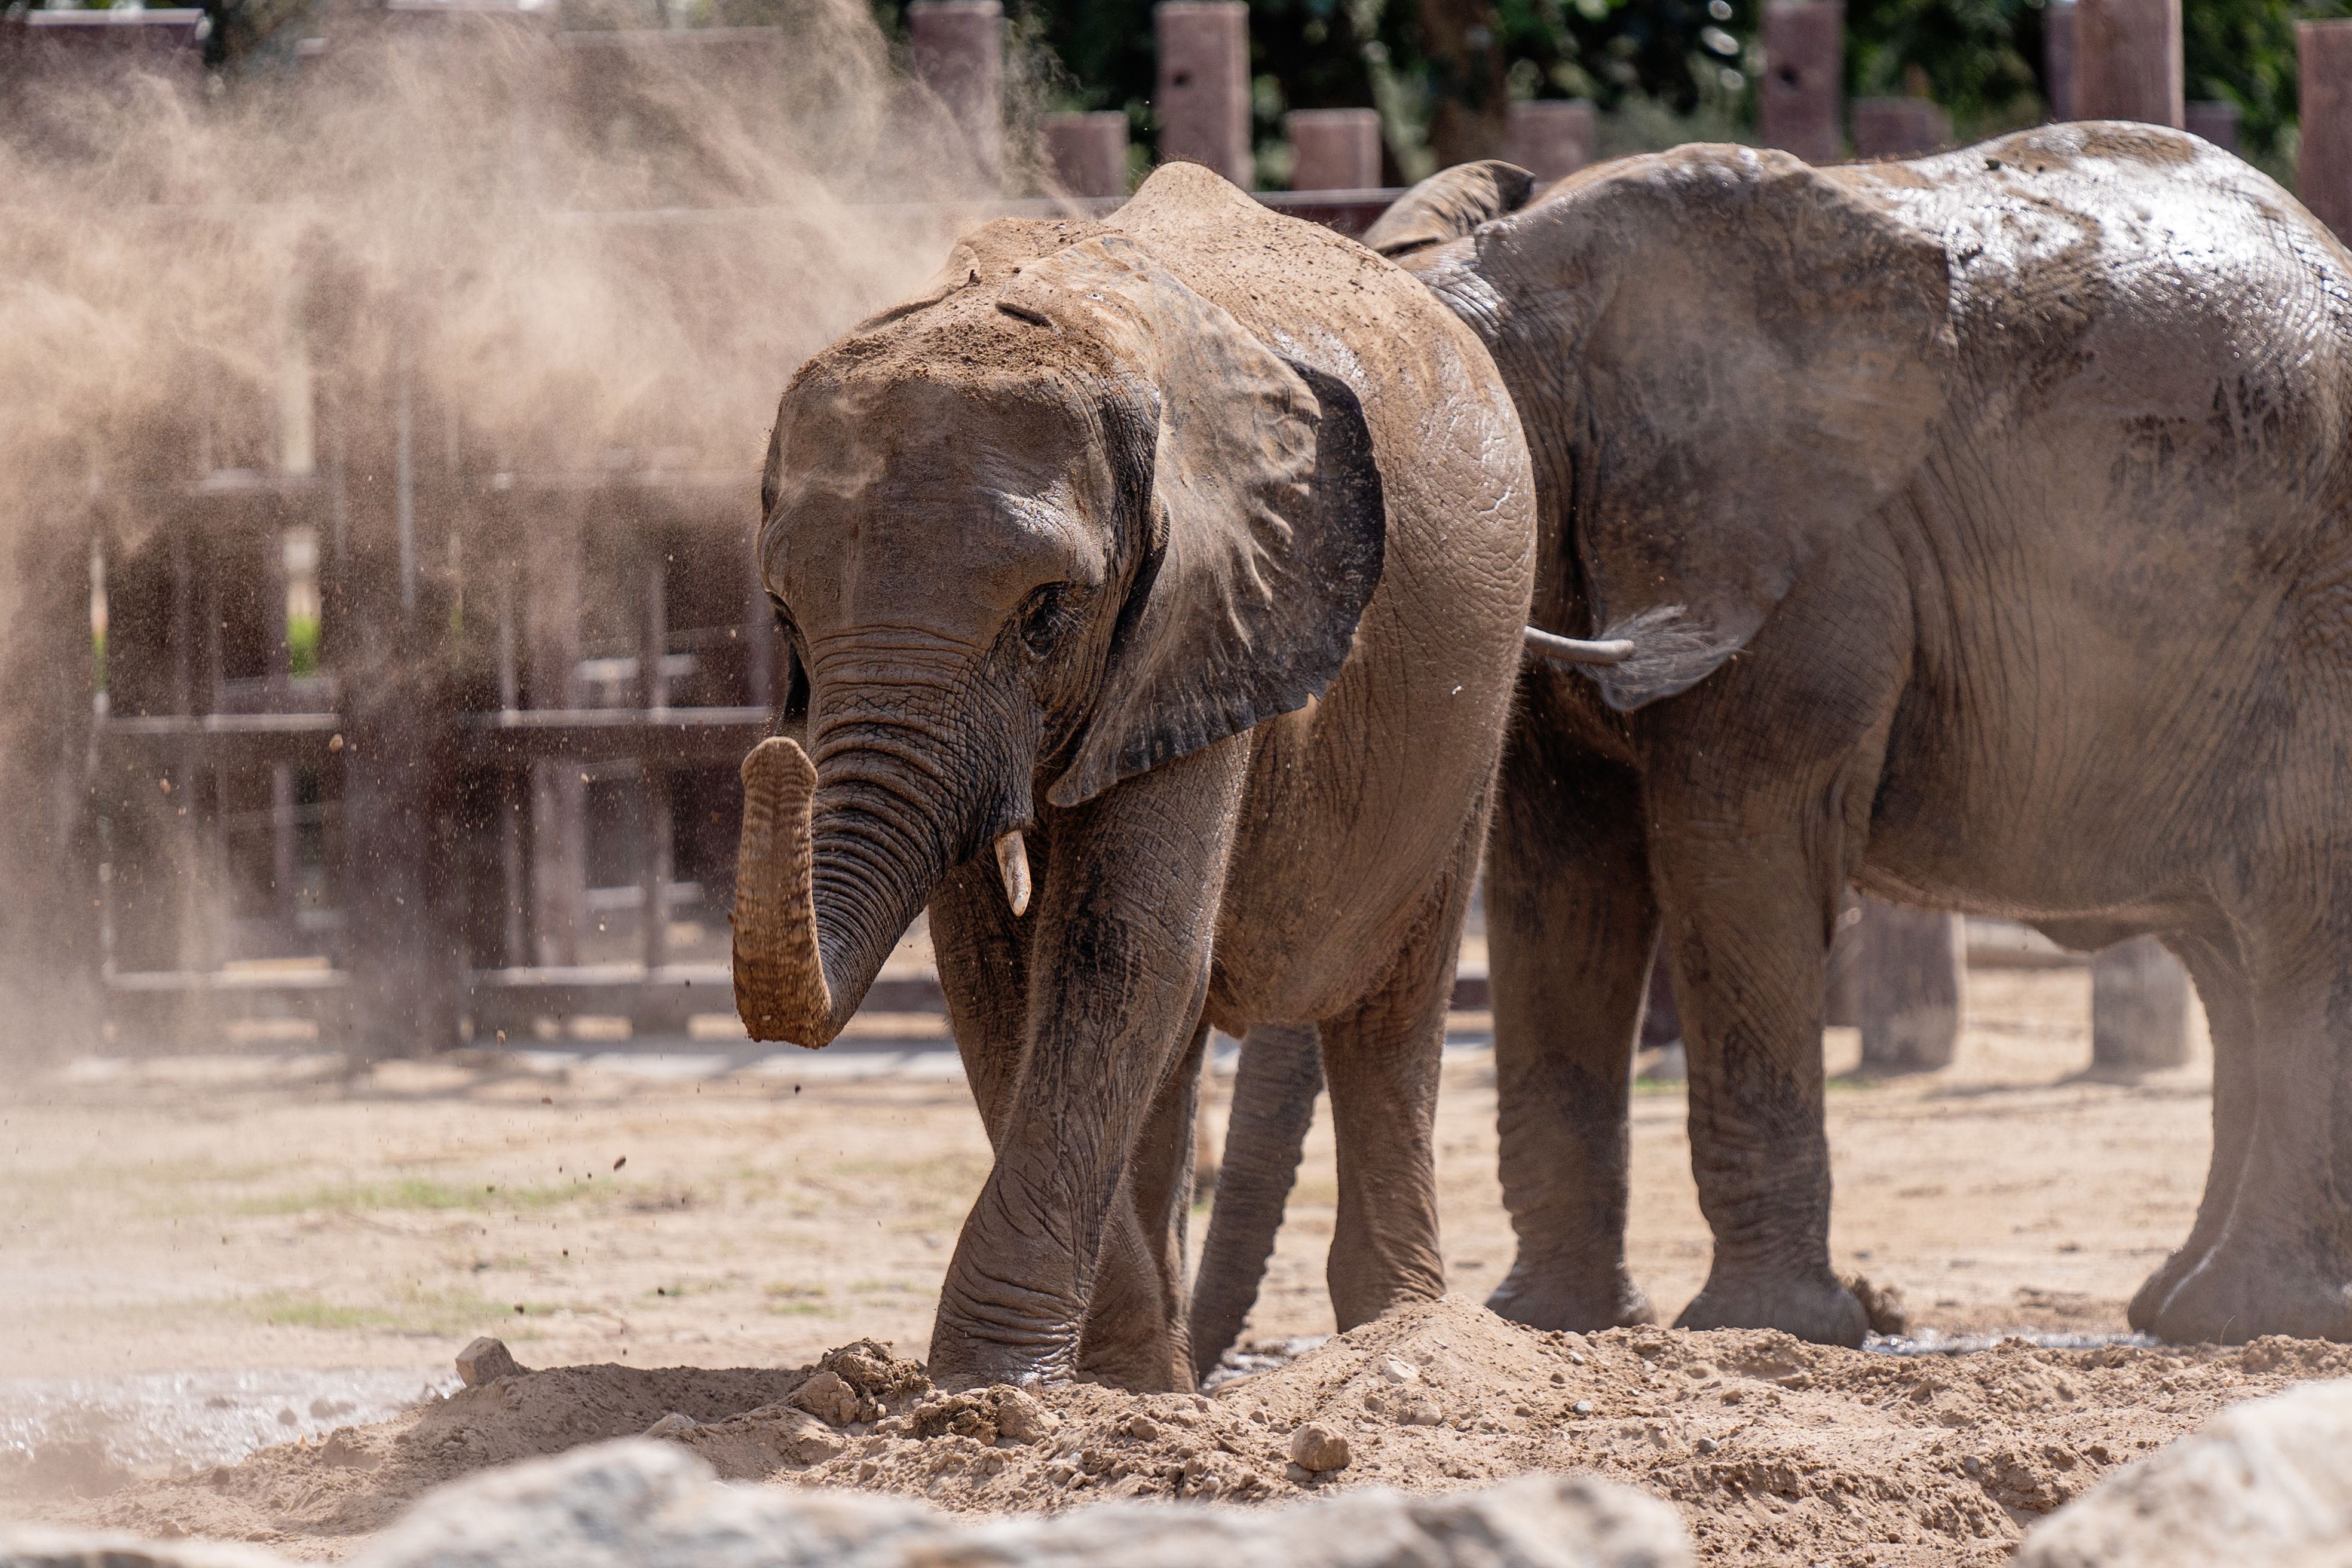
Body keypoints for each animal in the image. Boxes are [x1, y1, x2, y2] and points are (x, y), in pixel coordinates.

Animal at [729, 161, 1536, 1389]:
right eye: (783, 615)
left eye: (1047, 614)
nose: (772, 761)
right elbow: (993, 969)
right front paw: (1117, 1385)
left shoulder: (1210, 610)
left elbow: (1121, 941)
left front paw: (996, 1384)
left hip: (1478, 685)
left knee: (1395, 993)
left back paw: (1400, 1334)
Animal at [1337, 121, 2352, 1347]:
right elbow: (1560, 880)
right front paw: (1554, 1328)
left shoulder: (1821, 562)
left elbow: (1737, 857)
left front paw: (1767, 1329)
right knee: (2229, 951)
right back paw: (2179, 1305)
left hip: (2311, 618)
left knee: (2294, 913)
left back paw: (2246, 1313)